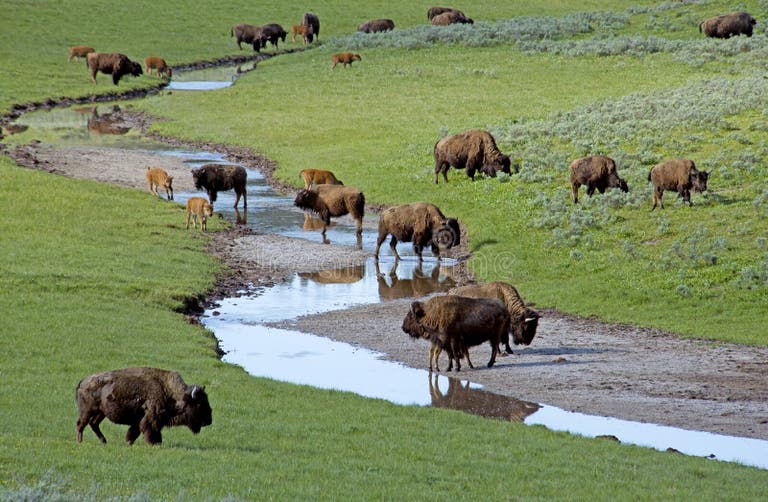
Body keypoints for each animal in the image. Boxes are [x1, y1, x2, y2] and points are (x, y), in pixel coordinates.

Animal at [75, 367, 212, 445]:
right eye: (199, 403)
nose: (209, 421)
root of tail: (83, 381)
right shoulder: (151, 419)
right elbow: (149, 431)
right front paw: (153, 443)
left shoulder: (140, 421)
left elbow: (133, 432)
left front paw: (129, 442)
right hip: (88, 411)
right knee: (81, 424)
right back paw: (80, 441)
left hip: (100, 413)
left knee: (93, 424)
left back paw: (103, 441)